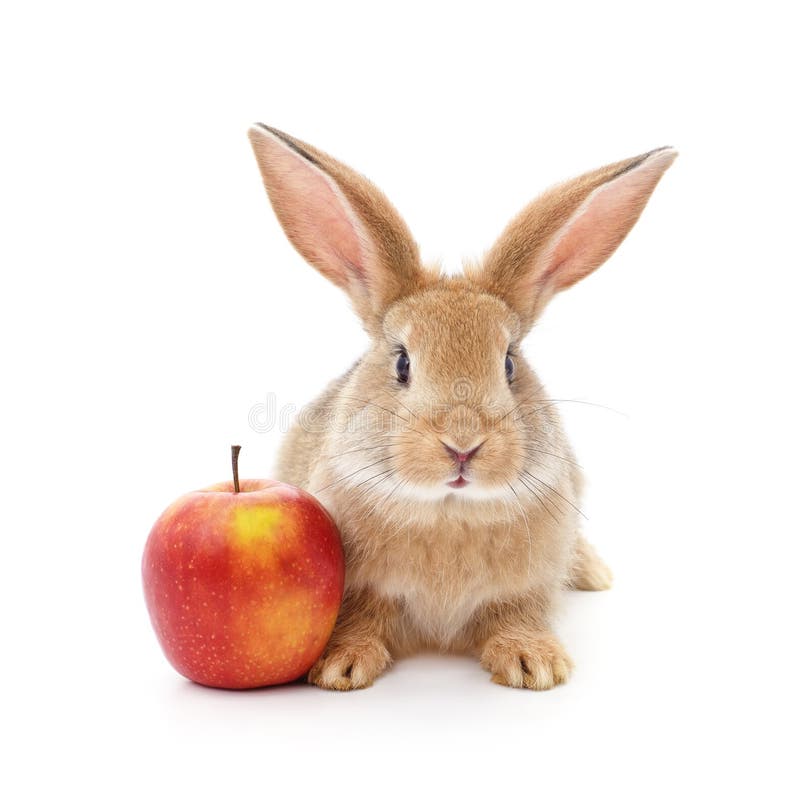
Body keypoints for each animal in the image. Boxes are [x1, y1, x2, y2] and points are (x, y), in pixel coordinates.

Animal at [248, 124, 676, 690]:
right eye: (402, 362)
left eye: (510, 363)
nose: (463, 445)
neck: (448, 511)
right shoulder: (363, 590)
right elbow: (363, 619)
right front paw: (341, 666)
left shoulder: (523, 589)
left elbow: (515, 614)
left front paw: (535, 665)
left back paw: (593, 574)